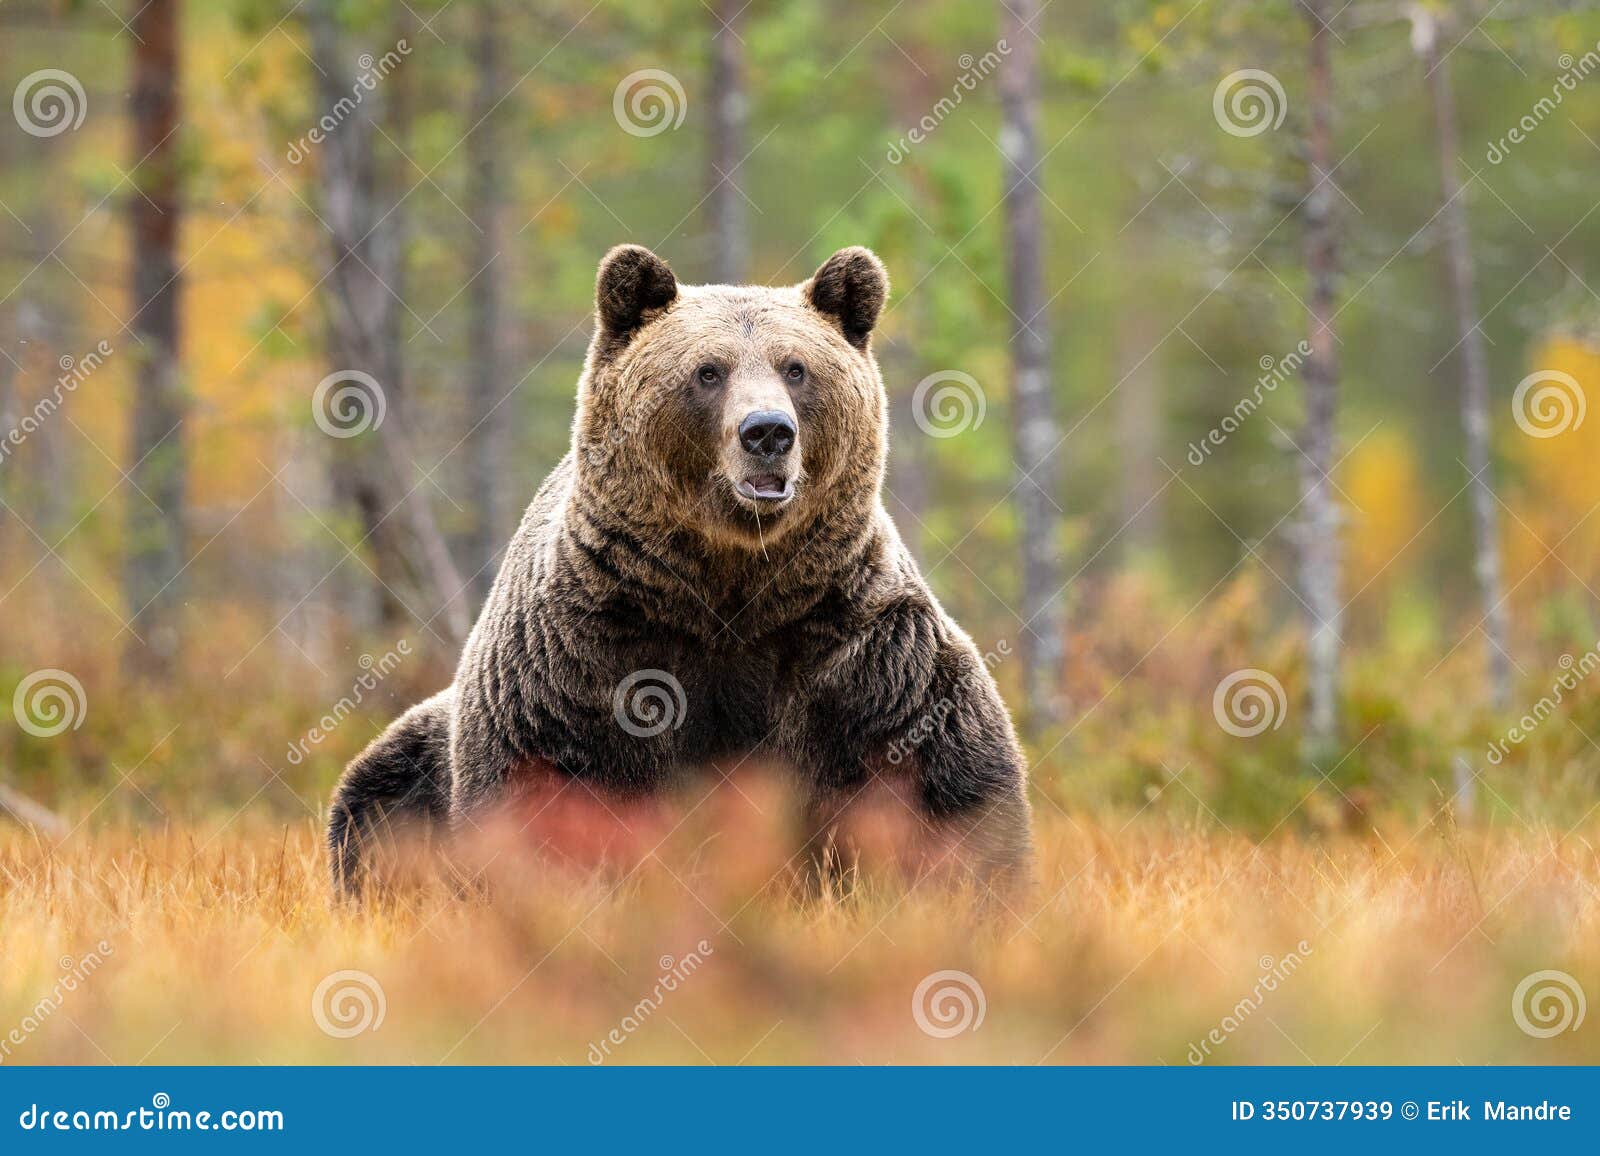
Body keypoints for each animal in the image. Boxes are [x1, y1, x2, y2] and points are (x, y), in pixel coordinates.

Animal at [326, 244, 1034, 899]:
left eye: (796, 368)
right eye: (708, 371)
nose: (767, 432)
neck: (727, 587)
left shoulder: (856, 648)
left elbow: (943, 779)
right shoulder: (585, 656)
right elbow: (548, 792)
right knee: (376, 798)